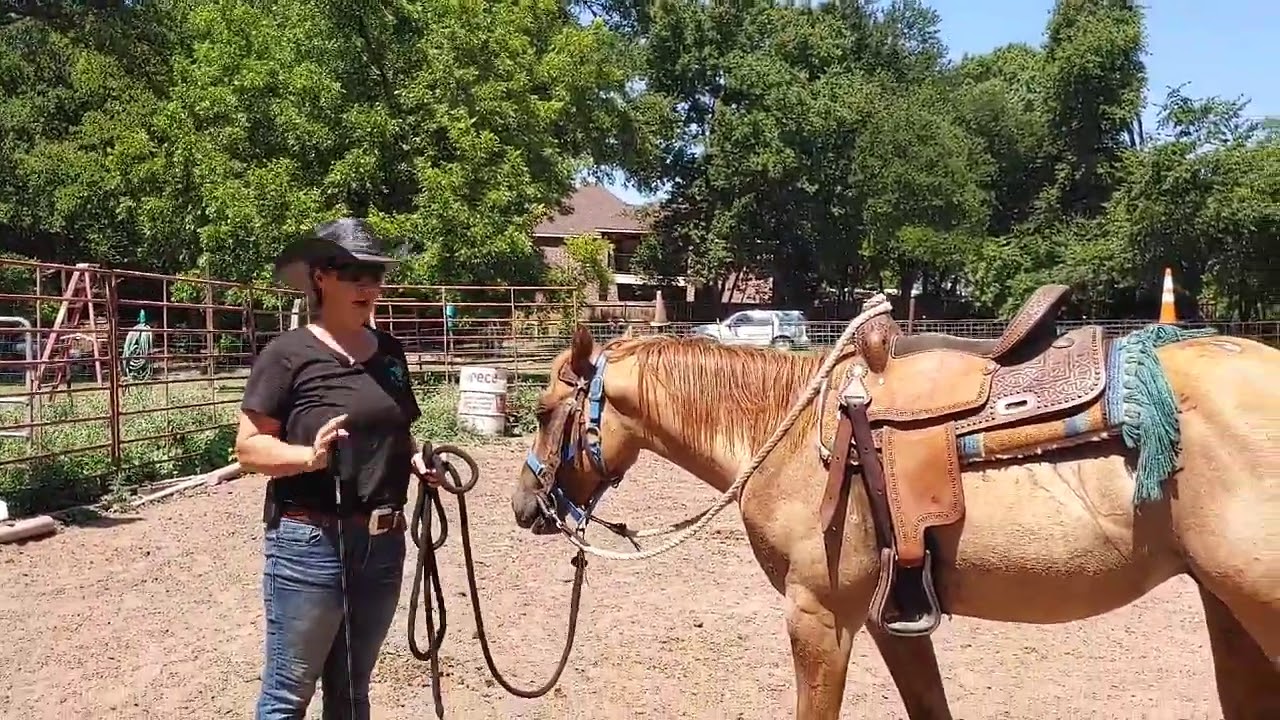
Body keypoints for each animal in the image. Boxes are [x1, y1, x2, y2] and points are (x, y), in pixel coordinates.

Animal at [509, 299, 1280, 719]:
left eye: (545, 412)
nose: (523, 506)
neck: (786, 434)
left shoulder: (818, 616)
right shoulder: (892, 619)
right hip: (1227, 607)